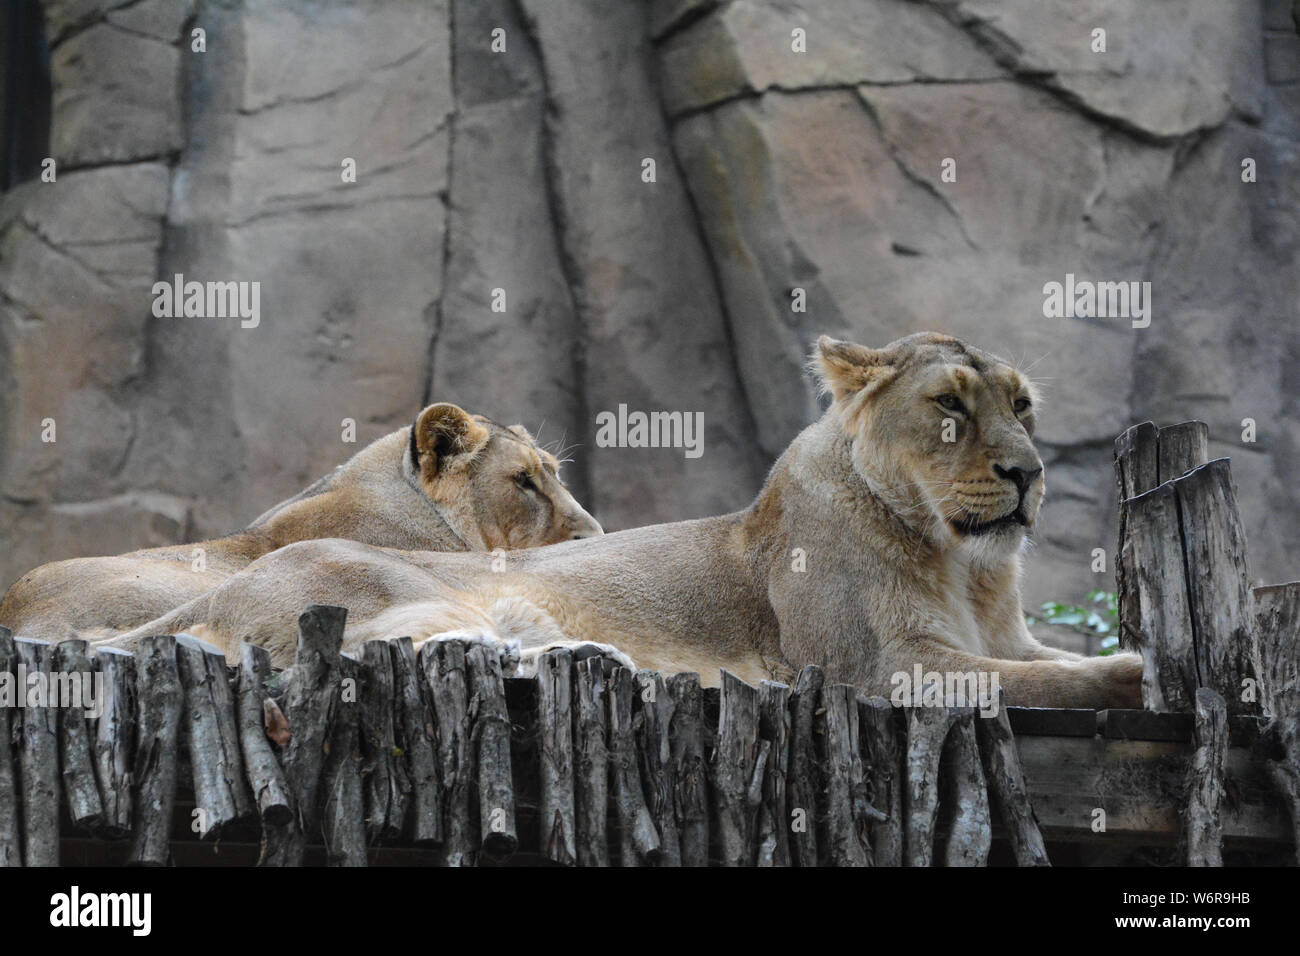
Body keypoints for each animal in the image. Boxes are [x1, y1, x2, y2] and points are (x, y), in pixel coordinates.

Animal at [104, 333, 1143, 709]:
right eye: (951, 408)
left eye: (1023, 405)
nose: (1029, 472)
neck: (968, 563)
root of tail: (238, 574)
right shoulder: (882, 667)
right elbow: (1053, 685)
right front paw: (1132, 674)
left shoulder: (1004, 636)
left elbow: (1051, 662)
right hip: (393, 600)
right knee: (389, 654)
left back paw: (609, 661)